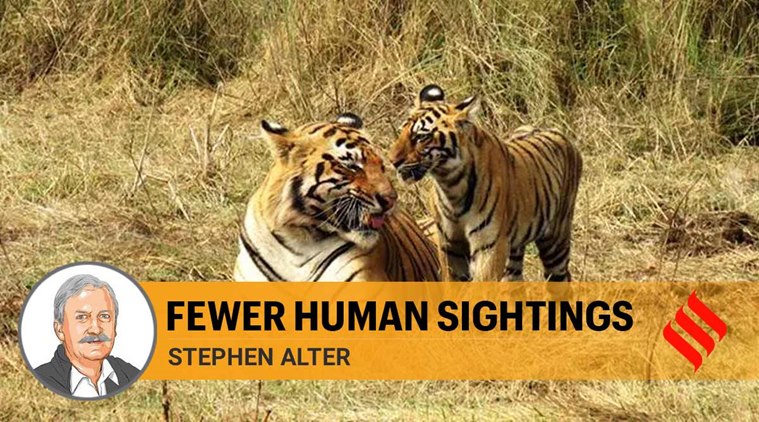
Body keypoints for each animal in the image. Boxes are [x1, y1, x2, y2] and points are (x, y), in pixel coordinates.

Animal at [388, 84, 583, 284]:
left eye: (421, 137)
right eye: (402, 131)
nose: (392, 161)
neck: (450, 185)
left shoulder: (489, 247)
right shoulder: (450, 247)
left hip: (556, 239)